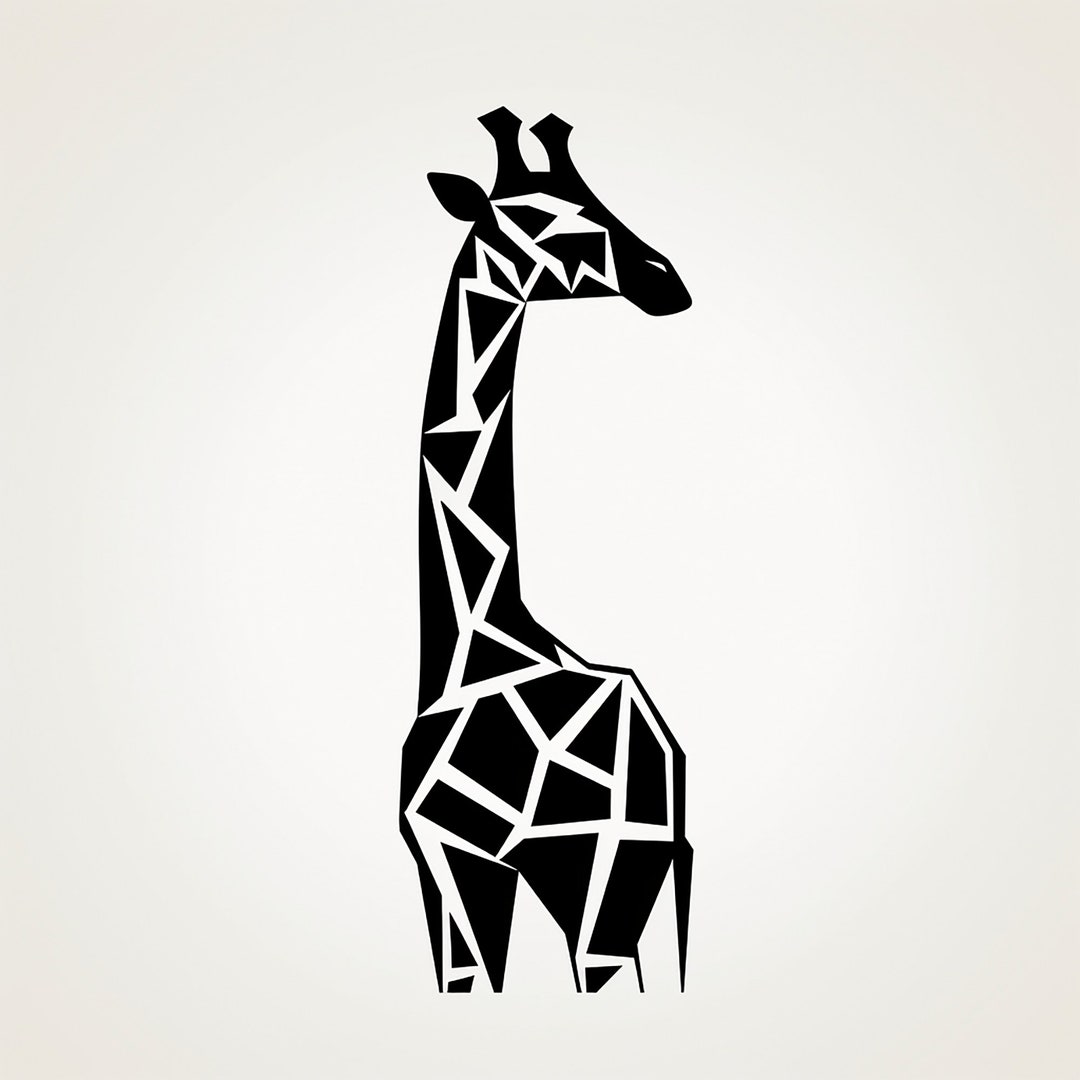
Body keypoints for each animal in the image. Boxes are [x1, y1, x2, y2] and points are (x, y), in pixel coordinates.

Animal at [400, 107, 693, 994]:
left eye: (598, 200)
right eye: (538, 219)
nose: (666, 280)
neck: (474, 648)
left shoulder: (557, 869)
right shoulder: (448, 871)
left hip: (611, 882)